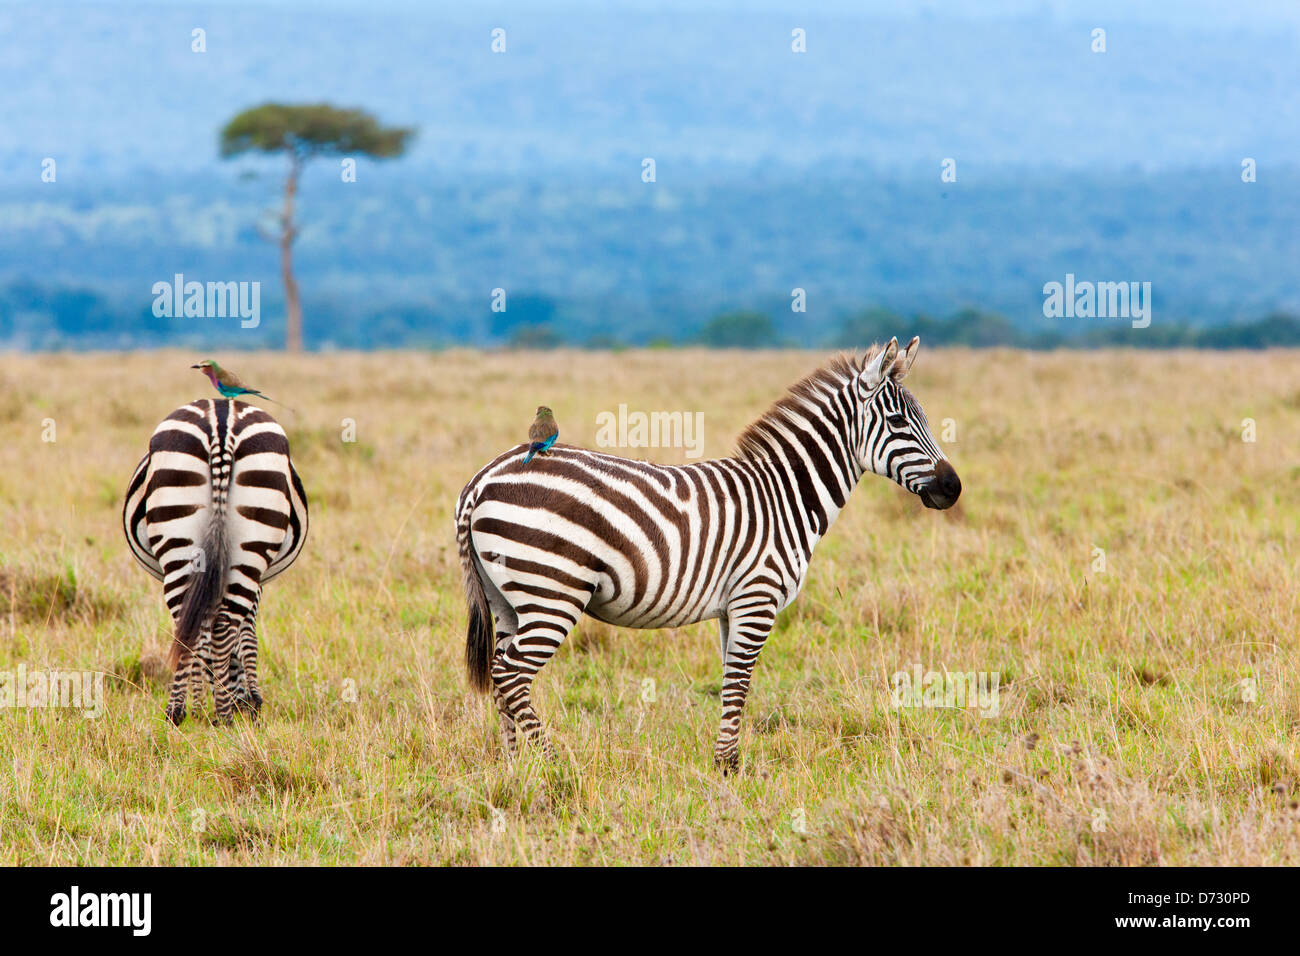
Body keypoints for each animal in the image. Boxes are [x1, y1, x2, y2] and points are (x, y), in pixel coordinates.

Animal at [122, 398, 308, 725]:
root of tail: (222, 425)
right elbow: (244, 633)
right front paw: (245, 699)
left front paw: (222, 701)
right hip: (242, 547)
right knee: (216, 627)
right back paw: (218, 712)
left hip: (185, 545)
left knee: (193, 628)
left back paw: (185, 711)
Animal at [455, 336, 961, 772]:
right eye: (898, 423)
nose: (953, 488)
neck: (782, 496)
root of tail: (481, 479)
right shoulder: (757, 598)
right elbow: (739, 682)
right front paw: (729, 767)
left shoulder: (732, 607)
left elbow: (729, 680)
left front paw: (725, 760)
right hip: (552, 591)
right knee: (512, 675)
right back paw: (553, 764)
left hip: (507, 599)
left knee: (500, 675)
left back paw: (515, 767)